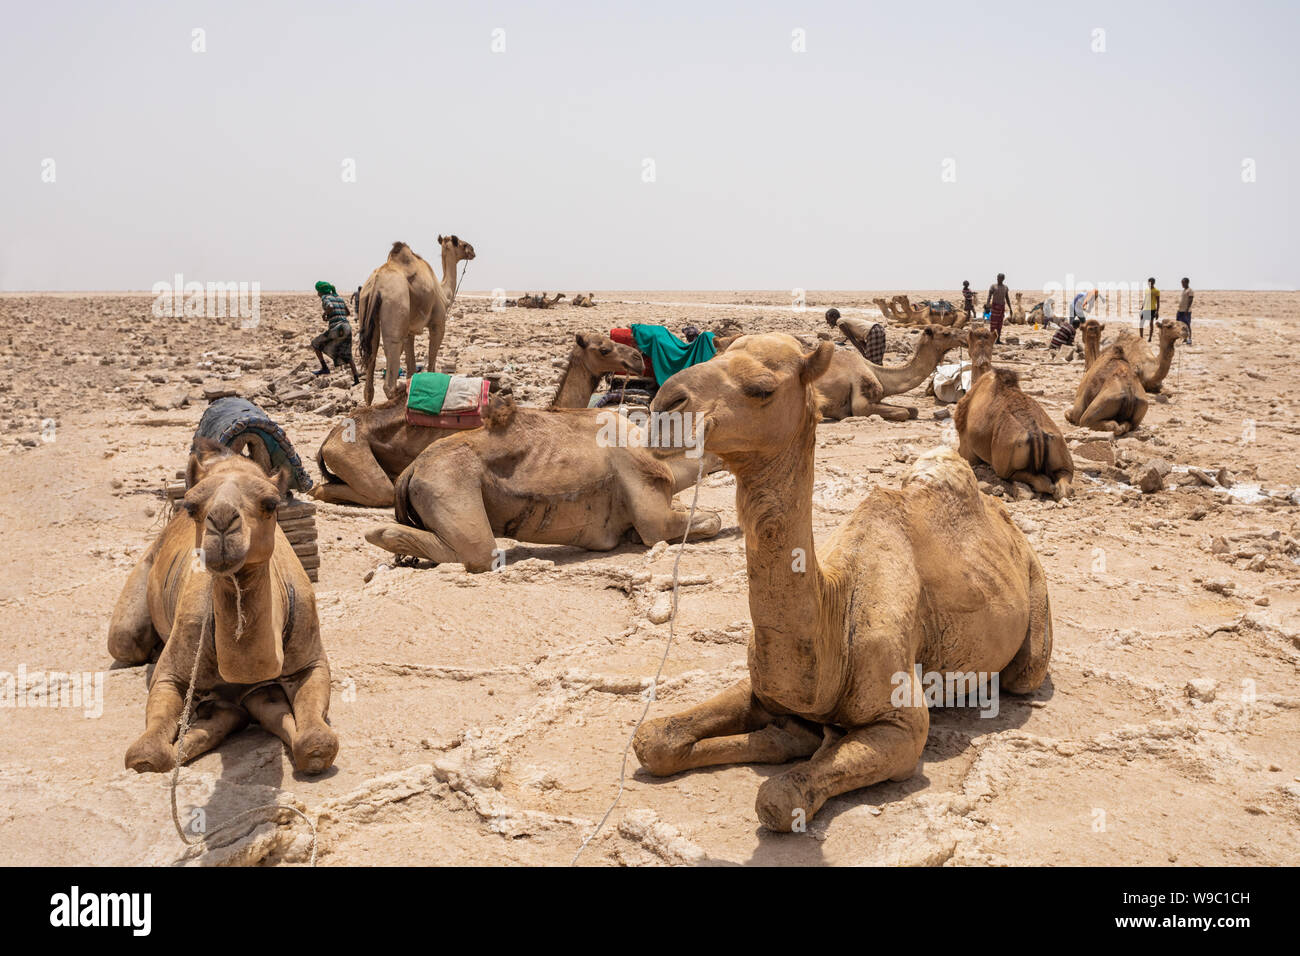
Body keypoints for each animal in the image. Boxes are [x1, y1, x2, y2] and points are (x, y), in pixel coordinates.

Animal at [108, 439, 337, 774]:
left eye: (271, 503)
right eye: (191, 506)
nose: (223, 522)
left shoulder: (309, 662)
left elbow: (316, 741)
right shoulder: (173, 672)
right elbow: (147, 754)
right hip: (137, 595)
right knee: (124, 640)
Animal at [359, 236, 476, 405]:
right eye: (462, 243)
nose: (473, 250)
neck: (443, 294)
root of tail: (376, 284)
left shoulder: (409, 330)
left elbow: (411, 366)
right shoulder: (438, 324)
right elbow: (432, 359)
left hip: (365, 307)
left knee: (371, 357)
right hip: (395, 303)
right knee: (391, 359)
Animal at [814, 325, 966, 421]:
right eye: (945, 333)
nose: (965, 337)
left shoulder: (877, 399)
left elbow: (913, 410)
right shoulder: (861, 405)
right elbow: (904, 412)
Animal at [954, 327, 1074, 500]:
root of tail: (1038, 435)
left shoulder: (967, 449)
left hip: (1004, 465)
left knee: (1036, 480)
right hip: (1063, 458)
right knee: (1063, 484)